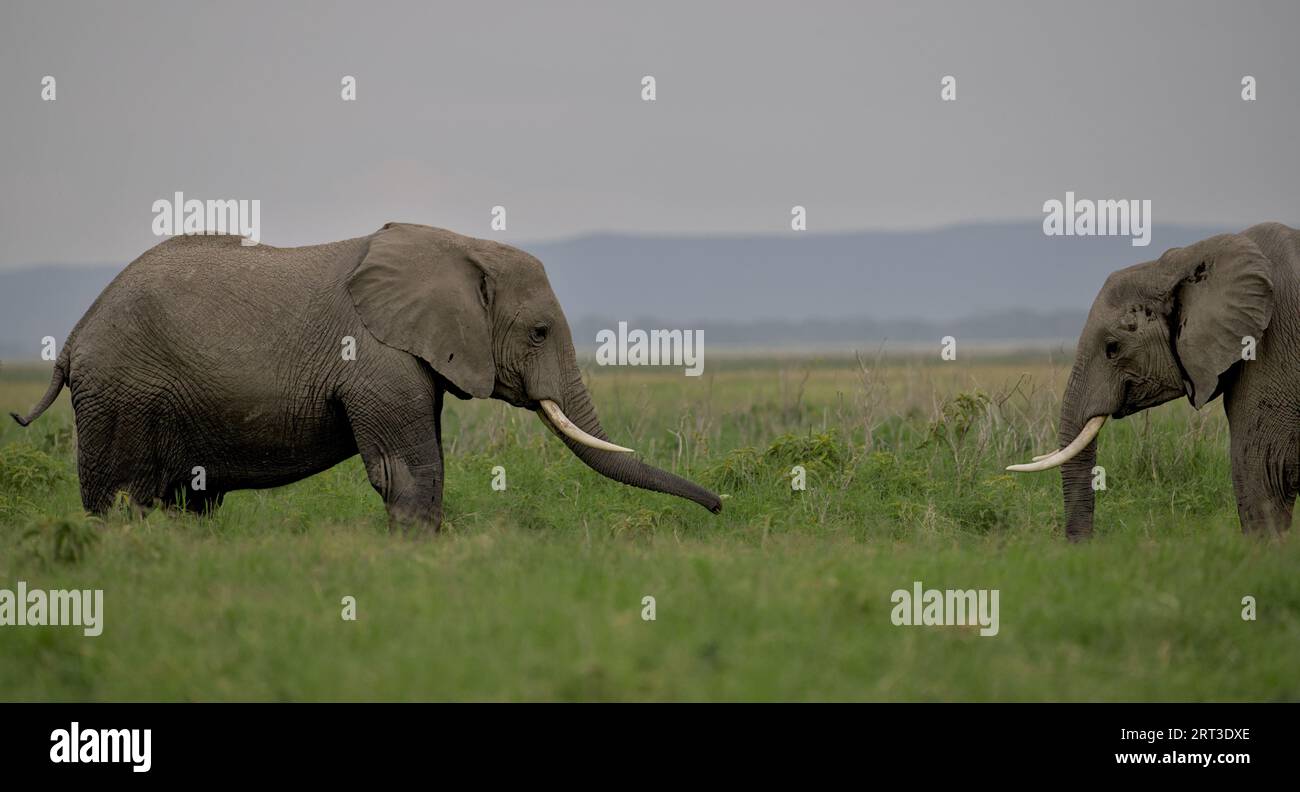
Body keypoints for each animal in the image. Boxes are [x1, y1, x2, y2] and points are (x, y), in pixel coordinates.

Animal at [10, 222, 723, 527]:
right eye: (541, 332)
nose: (721, 506)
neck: (457, 246)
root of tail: (71, 340)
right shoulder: (378, 357)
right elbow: (410, 468)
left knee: (188, 498)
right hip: (120, 394)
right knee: (119, 499)